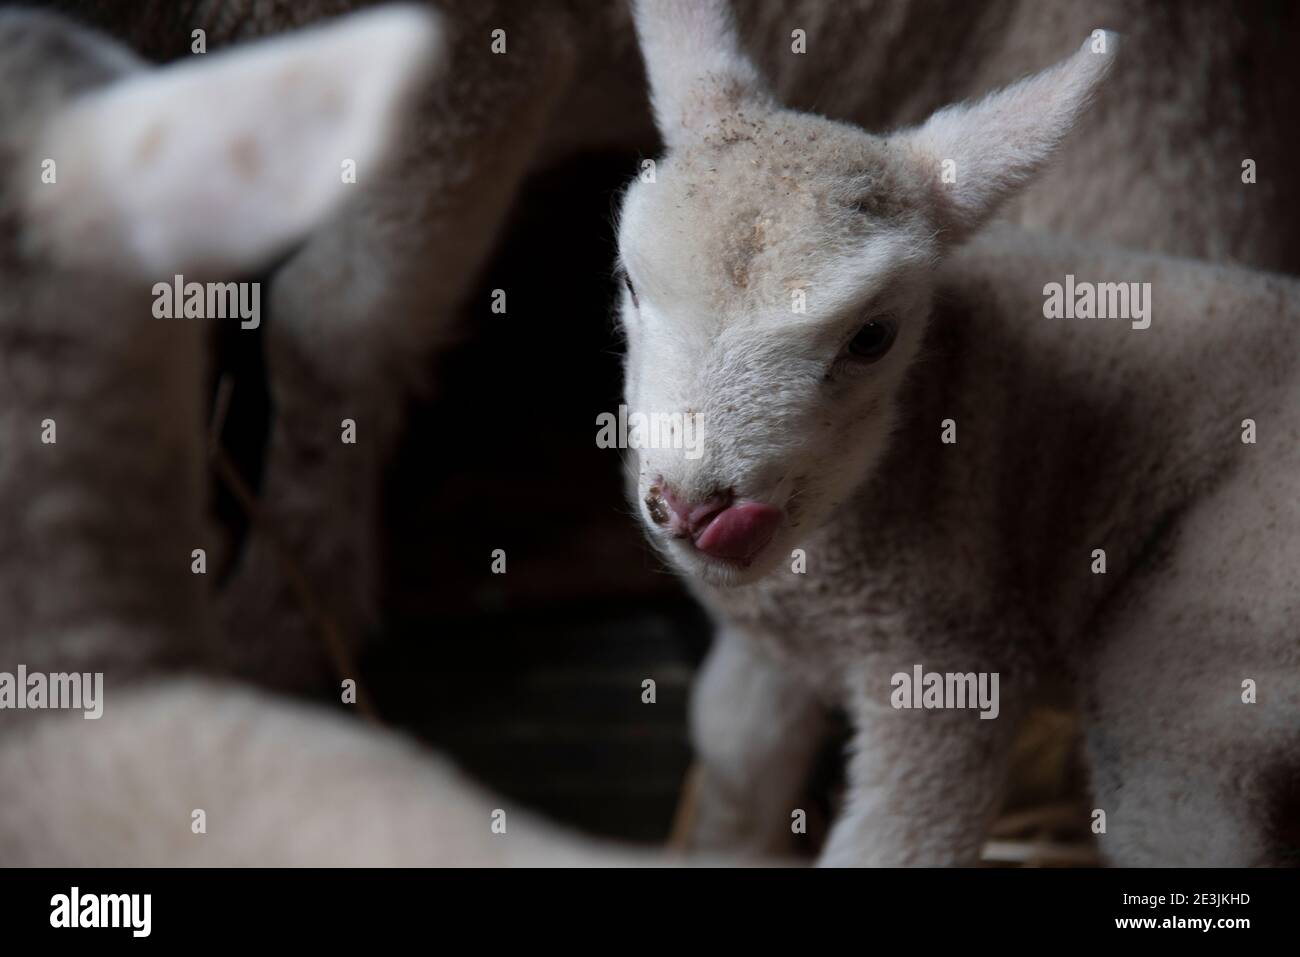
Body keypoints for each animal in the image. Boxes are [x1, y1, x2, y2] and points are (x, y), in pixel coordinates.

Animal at [617, 0, 1300, 865]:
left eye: (873, 336)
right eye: (630, 282)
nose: (696, 507)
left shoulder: (951, 655)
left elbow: (901, 840)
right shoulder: (774, 645)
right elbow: (735, 752)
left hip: (1206, 642)